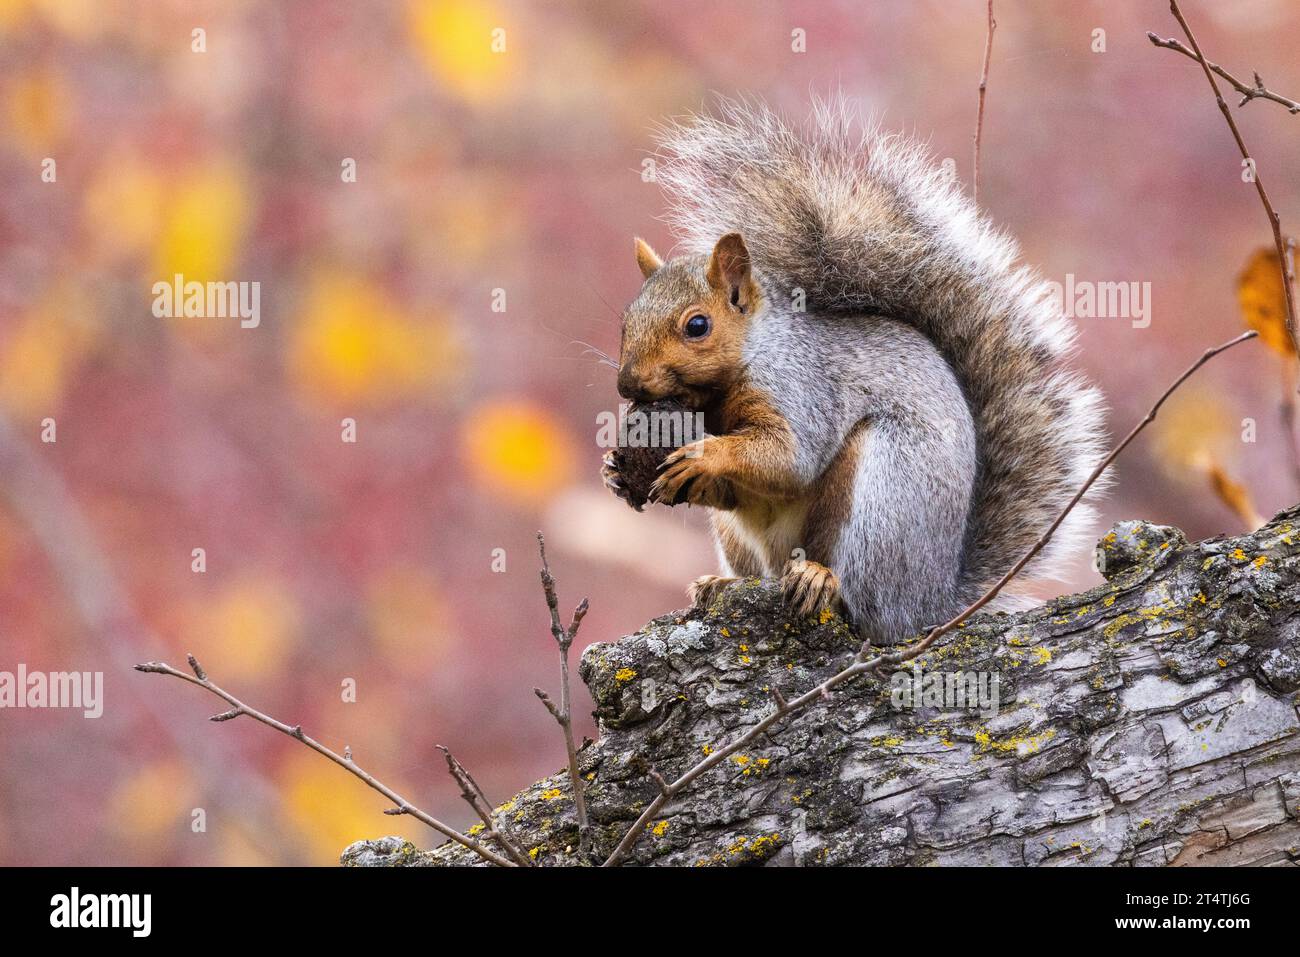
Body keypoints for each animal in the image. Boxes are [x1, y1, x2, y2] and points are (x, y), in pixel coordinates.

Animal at [601, 97, 1109, 644]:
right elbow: (737, 489)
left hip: (884, 496)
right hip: (744, 540)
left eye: (697, 325)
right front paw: (616, 470)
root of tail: (933, 605)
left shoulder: (803, 389)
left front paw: (703, 453)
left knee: (864, 600)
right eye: (627, 320)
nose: (627, 384)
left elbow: (788, 457)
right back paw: (721, 584)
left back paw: (822, 580)